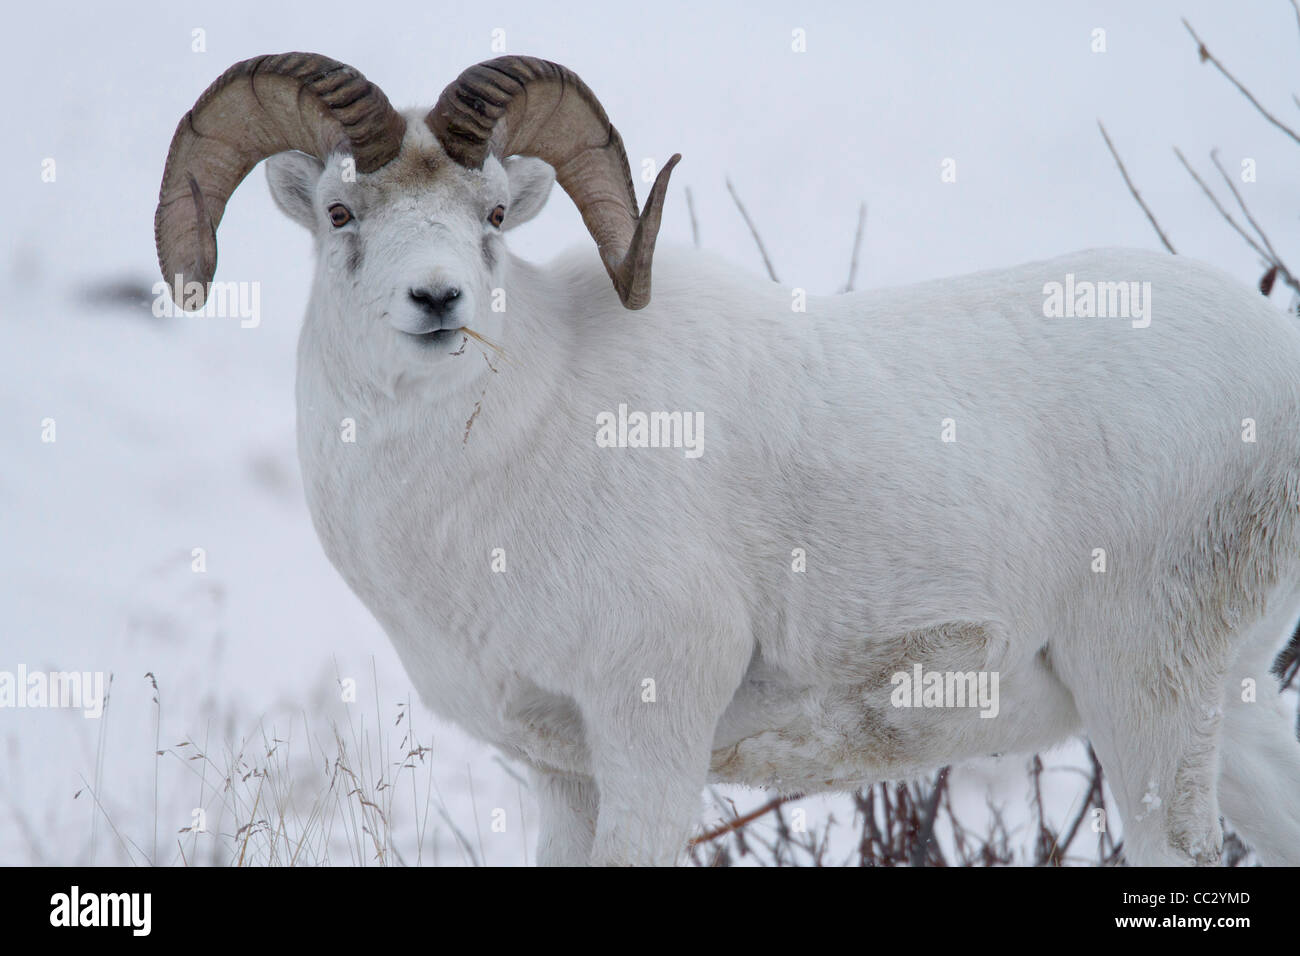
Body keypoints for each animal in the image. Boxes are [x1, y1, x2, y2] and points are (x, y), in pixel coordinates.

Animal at [154, 52, 1300, 866]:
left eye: (491, 217)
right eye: (342, 213)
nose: (436, 301)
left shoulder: (652, 738)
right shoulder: (563, 770)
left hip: (1145, 692)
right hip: (1234, 701)